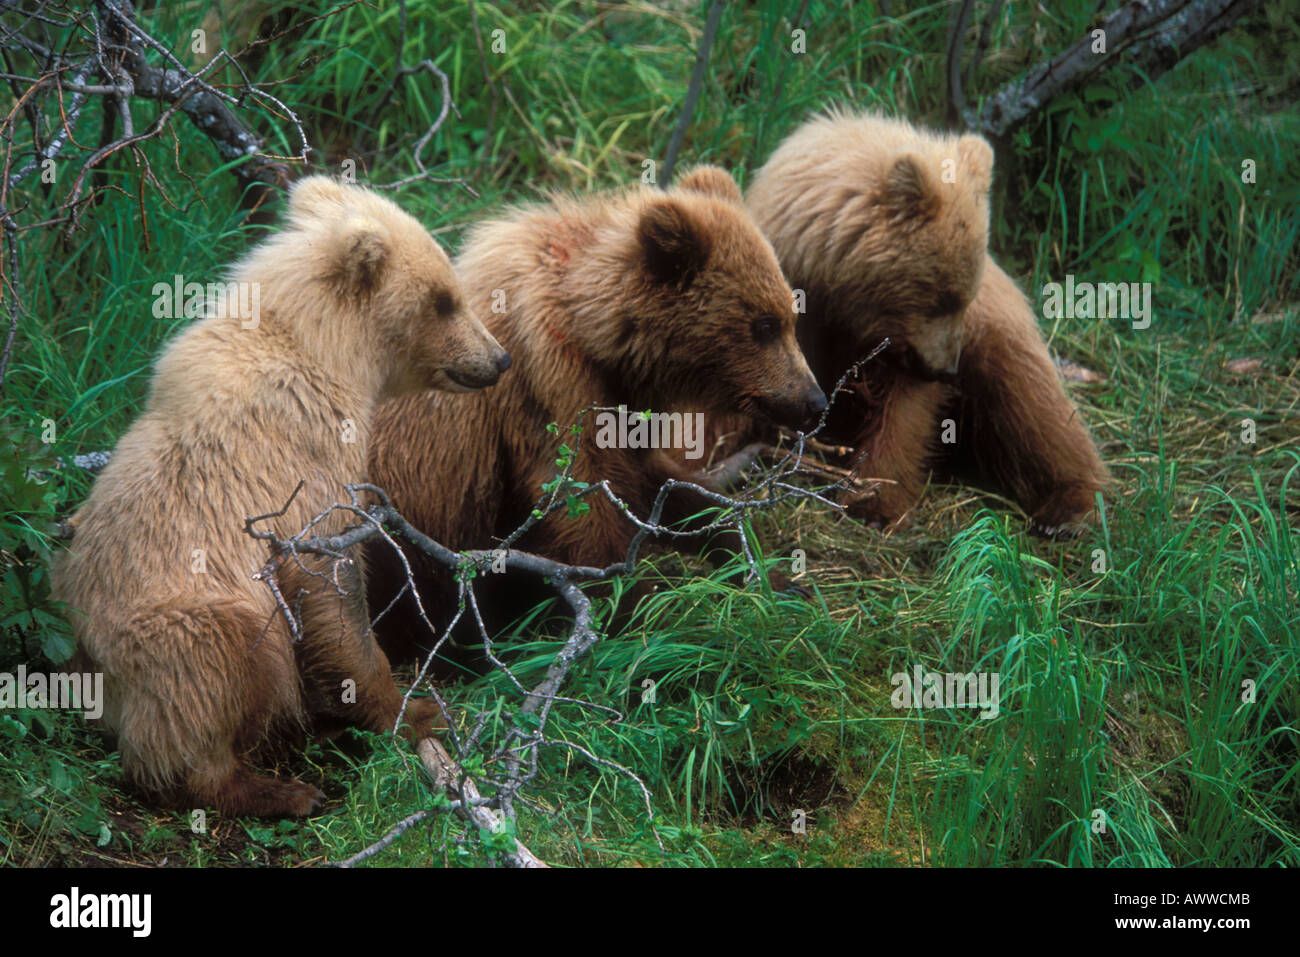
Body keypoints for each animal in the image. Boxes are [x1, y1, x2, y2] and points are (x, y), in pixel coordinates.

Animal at [51, 176, 511, 818]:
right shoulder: (306, 466)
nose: (498, 359)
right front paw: (415, 709)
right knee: (210, 678)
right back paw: (279, 790)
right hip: (173, 630)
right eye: (444, 299)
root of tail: (87, 674)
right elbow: (331, 587)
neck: (325, 353)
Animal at [365, 166, 826, 666]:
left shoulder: (625, 416)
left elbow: (674, 491)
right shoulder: (549, 390)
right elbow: (584, 514)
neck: (596, 335)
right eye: (763, 325)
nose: (814, 401)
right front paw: (659, 617)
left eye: (789, 315)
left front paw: (776, 578)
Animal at [727, 109, 1110, 533]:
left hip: (998, 340)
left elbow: (904, 410)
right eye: (942, 296)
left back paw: (1069, 507)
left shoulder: (909, 346)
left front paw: (876, 501)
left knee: (1035, 409)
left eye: (963, 297)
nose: (946, 369)